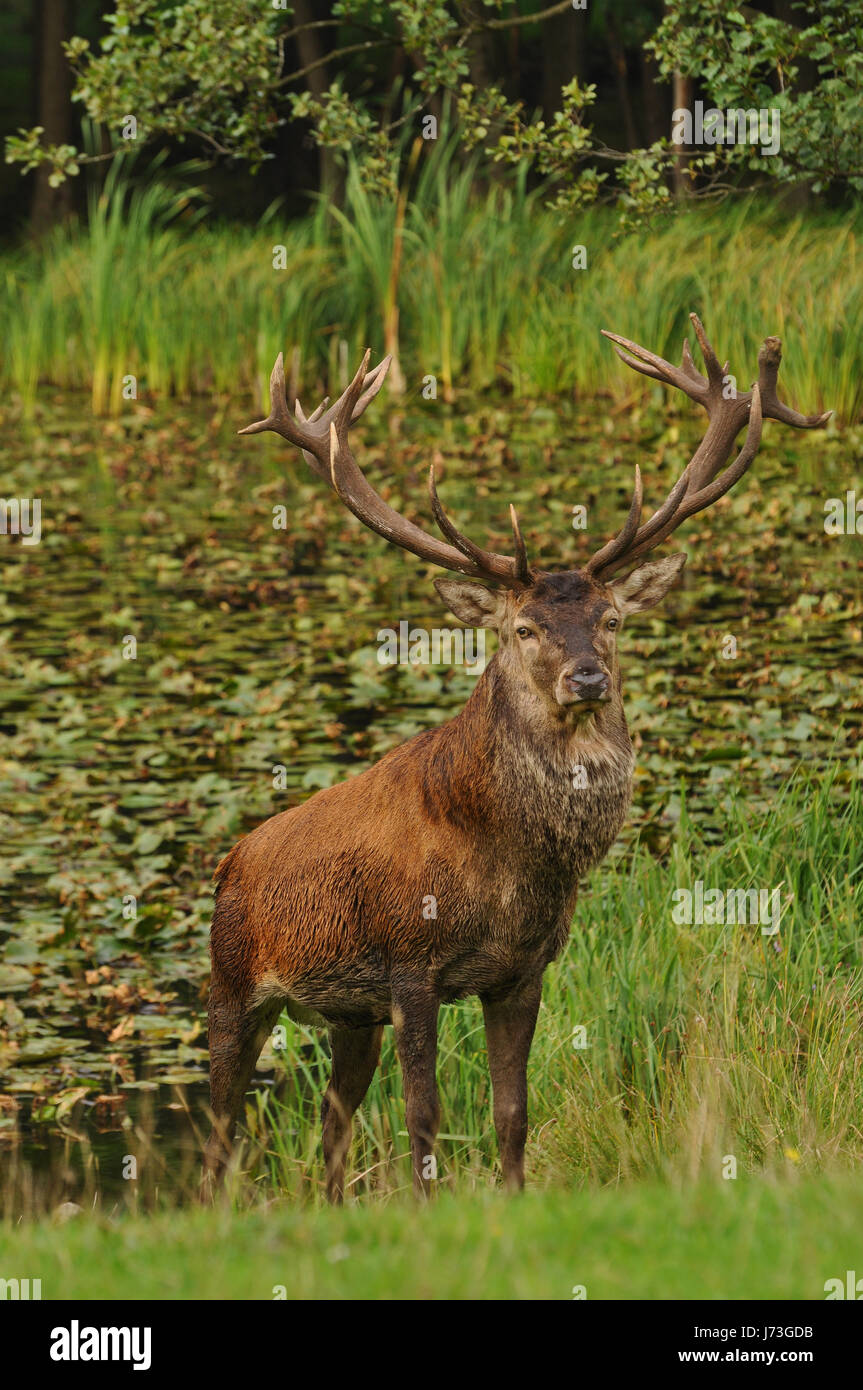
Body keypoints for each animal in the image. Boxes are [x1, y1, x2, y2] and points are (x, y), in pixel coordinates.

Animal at [201, 314, 828, 1201]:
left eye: (610, 618)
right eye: (522, 628)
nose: (587, 676)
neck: (507, 865)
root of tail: (232, 860)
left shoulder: (521, 971)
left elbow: (511, 1112)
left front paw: (509, 1198)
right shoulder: (411, 964)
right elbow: (424, 1117)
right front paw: (427, 1212)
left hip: (348, 1013)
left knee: (331, 1119)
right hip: (230, 983)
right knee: (220, 1130)